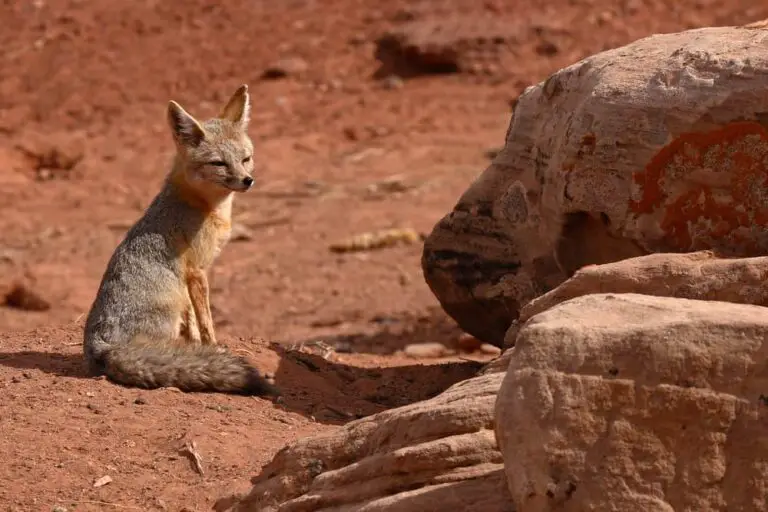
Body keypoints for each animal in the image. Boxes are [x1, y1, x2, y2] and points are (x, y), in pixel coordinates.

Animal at [83, 84, 280, 397]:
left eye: (245, 158)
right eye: (219, 163)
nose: (247, 180)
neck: (205, 205)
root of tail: (102, 347)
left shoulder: (187, 277)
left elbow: (193, 324)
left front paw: (198, 346)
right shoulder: (197, 270)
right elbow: (206, 320)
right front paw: (213, 347)